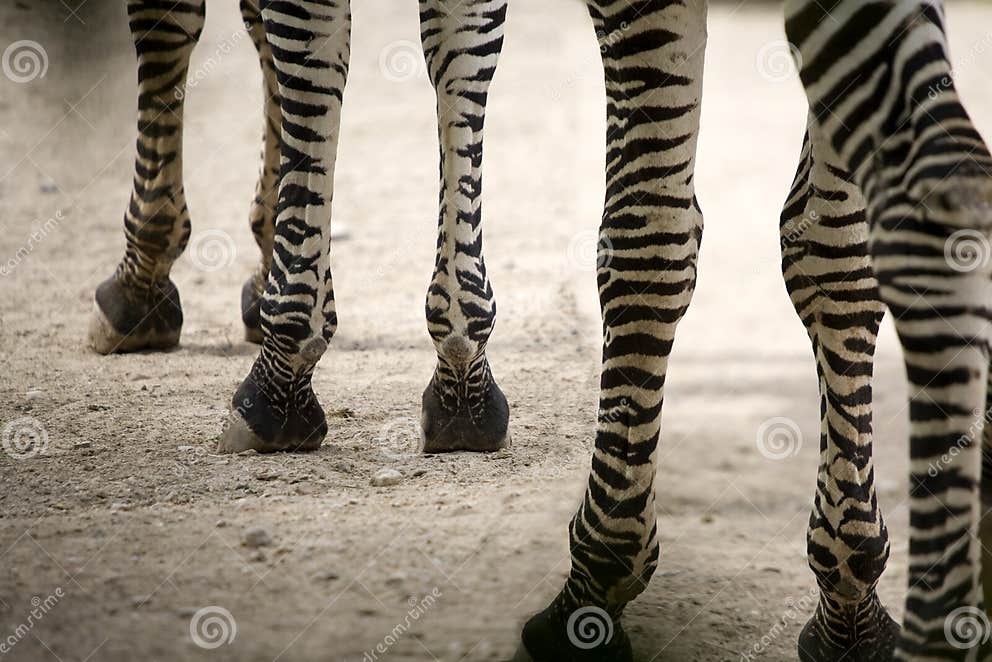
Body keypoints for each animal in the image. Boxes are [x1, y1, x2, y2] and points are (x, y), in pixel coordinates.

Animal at [87, 0, 992, 660]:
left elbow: (260, 36)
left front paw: (243, 339)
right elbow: (448, 40)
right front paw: (453, 370)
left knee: (656, 231)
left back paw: (595, 586)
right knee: (864, 233)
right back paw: (867, 600)